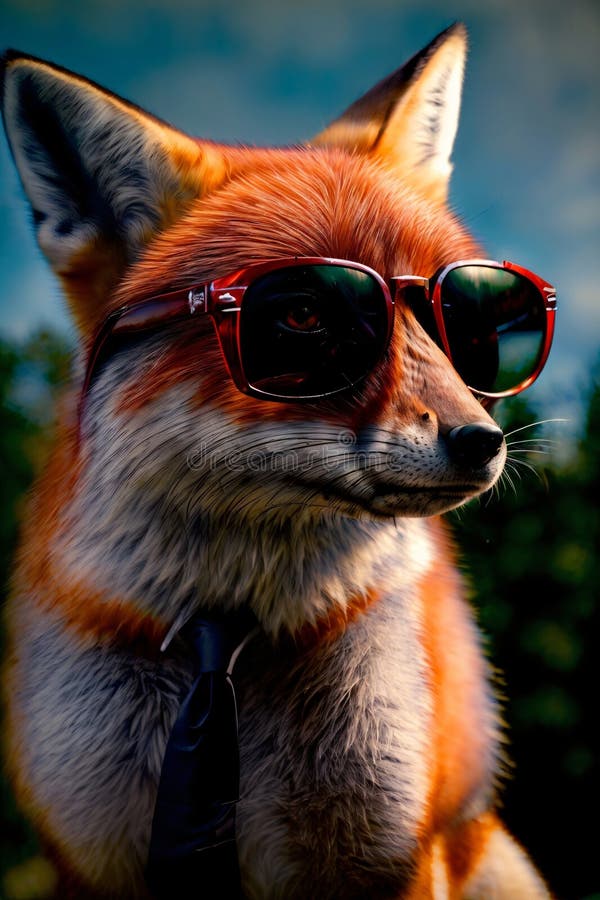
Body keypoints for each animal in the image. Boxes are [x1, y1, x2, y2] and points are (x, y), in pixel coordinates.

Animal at [0, 23, 555, 900]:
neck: (225, 638)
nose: (481, 441)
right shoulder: (91, 859)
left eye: (465, 321)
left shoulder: (389, 852)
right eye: (302, 317)